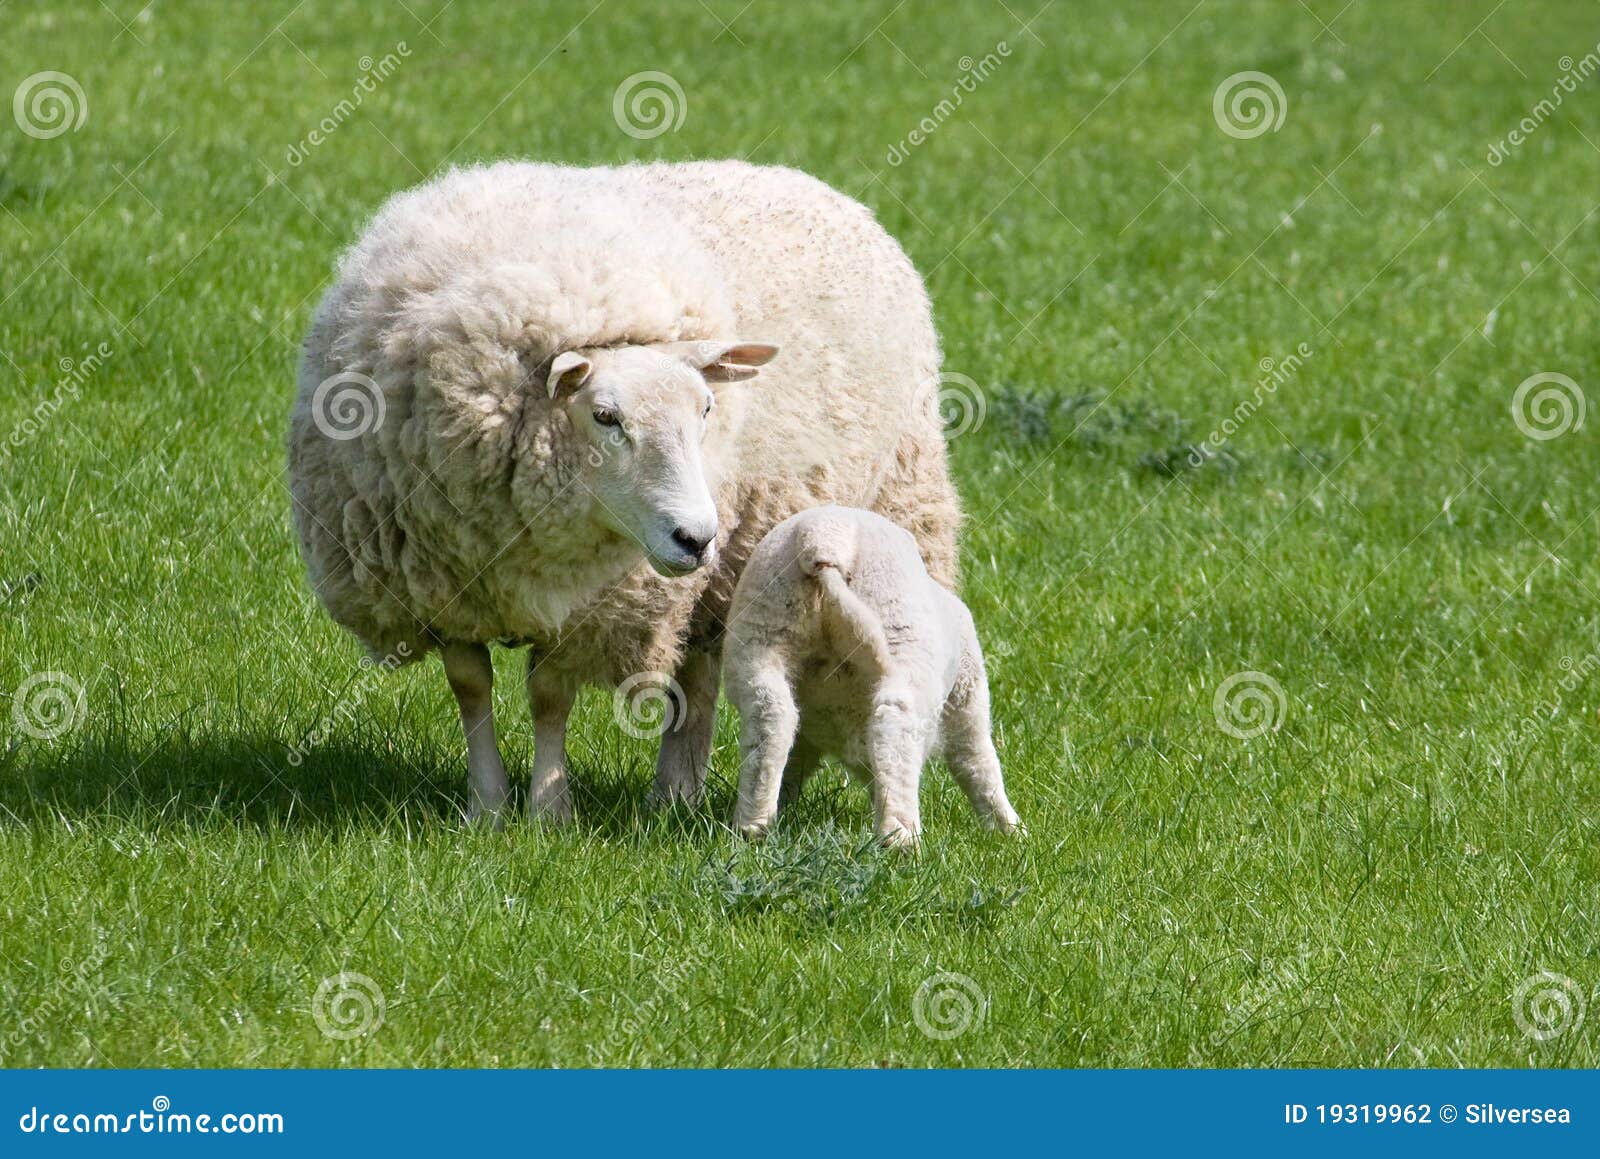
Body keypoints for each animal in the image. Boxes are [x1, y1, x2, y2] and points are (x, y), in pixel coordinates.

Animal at [287, 160, 961, 824]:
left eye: (708, 408)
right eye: (605, 416)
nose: (697, 537)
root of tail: (809, 181)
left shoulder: (591, 605)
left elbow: (549, 697)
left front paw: (549, 811)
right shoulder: (440, 585)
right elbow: (471, 687)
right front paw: (488, 808)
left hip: (877, 509)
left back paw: (685, 793)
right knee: (699, 663)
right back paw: (677, 794)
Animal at [723, 505, 1022, 846]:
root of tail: (823, 539)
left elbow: (794, 764)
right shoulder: (967, 691)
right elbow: (976, 760)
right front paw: (1009, 829)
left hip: (762, 631)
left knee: (771, 719)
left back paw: (753, 825)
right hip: (900, 632)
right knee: (895, 723)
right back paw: (900, 837)